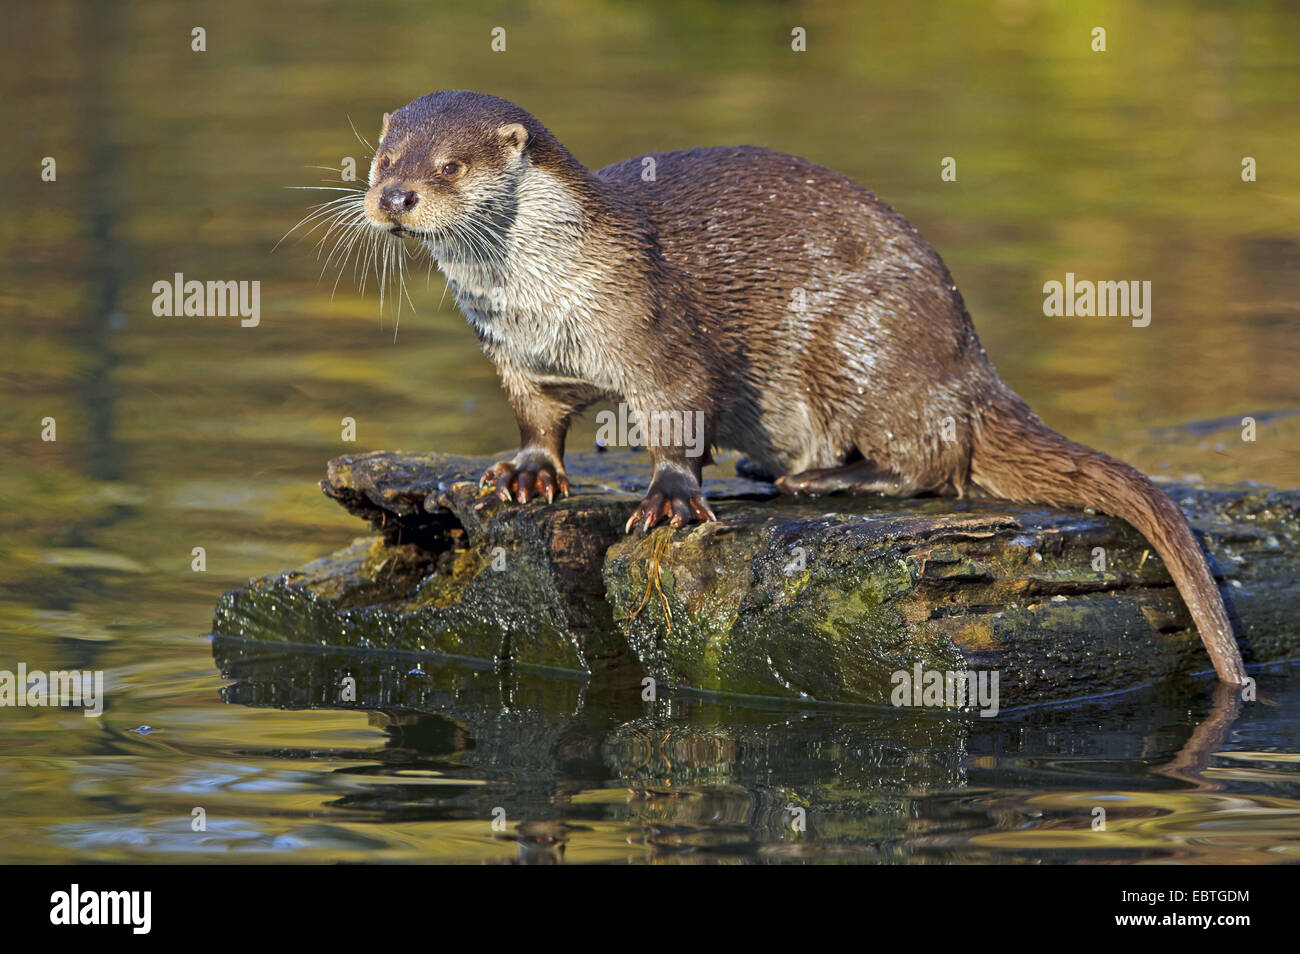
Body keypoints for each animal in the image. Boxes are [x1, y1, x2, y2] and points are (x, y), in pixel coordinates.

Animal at [350, 89, 1246, 685]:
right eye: (382, 159)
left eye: (450, 166)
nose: (394, 196)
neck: (543, 297)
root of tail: (969, 357)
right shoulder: (516, 357)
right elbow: (538, 421)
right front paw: (526, 474)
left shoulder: (658, 333)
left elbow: (680, 417)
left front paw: (670, 500)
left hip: (864, 345)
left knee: (937, 458)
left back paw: (820, 477)